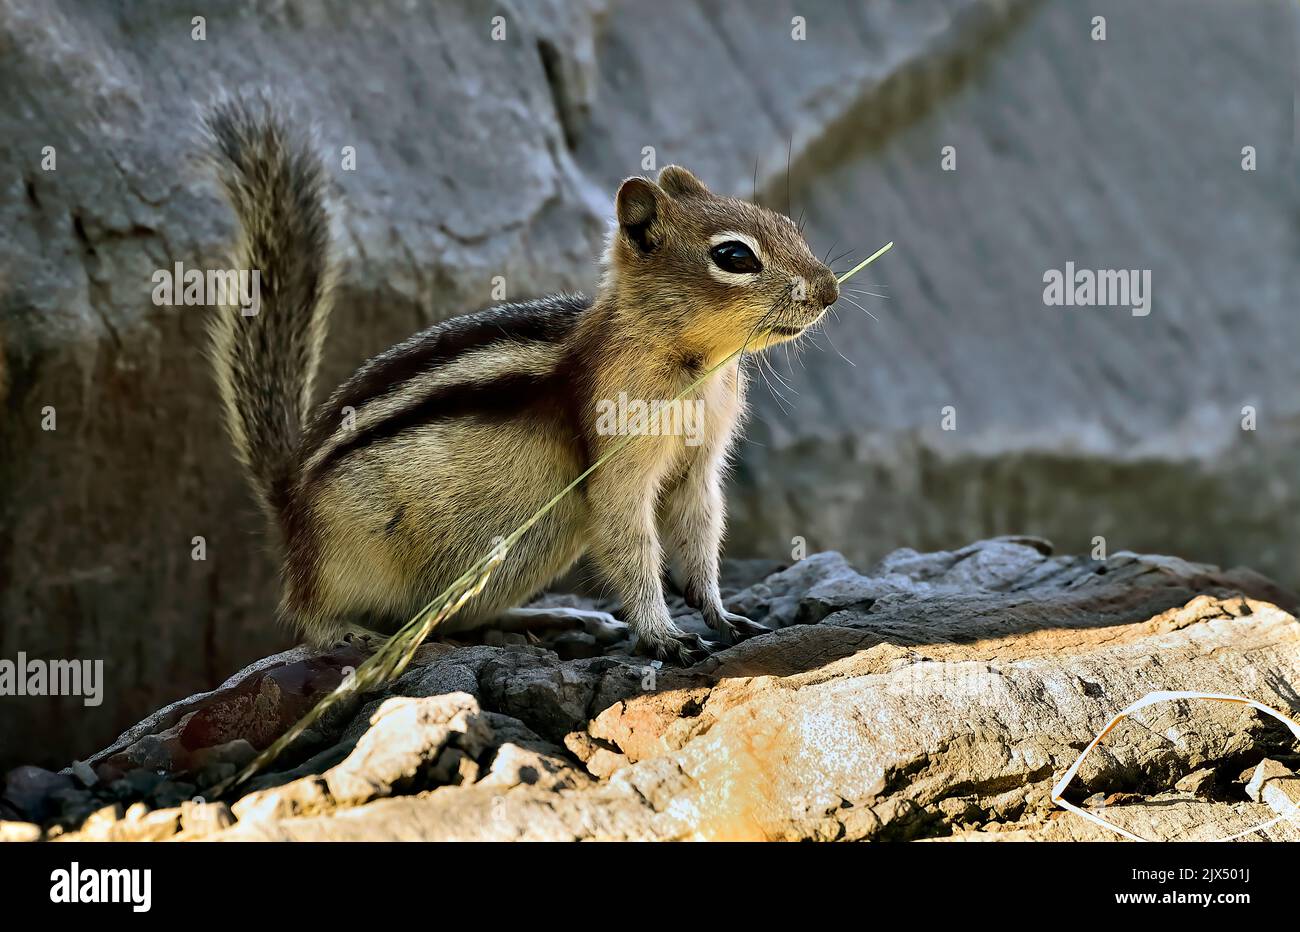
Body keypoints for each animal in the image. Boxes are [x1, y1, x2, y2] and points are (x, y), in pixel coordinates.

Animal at [198, 100, 837, 662]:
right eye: (734, 257)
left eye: (788, 224)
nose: (830, 290)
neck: (698, 365)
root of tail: (286, 494)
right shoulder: (620, 465)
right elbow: (631, 544)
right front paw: (662, 635)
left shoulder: (698, 465)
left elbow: (700, 539)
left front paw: (721, 614)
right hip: (352, 554)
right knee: (308, 612)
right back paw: (350, 634)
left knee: (457, 617)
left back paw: (558, 615)